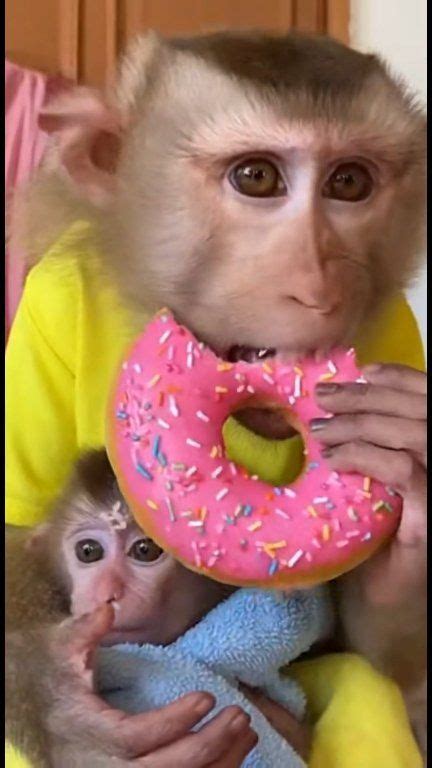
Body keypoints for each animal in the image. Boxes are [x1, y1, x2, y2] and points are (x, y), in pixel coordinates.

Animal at [8, 28, 426, 761]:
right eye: (256, 177)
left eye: (350, 182)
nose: (317, 285)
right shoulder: (48, 310)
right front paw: (64, 708)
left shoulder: (396, 335)